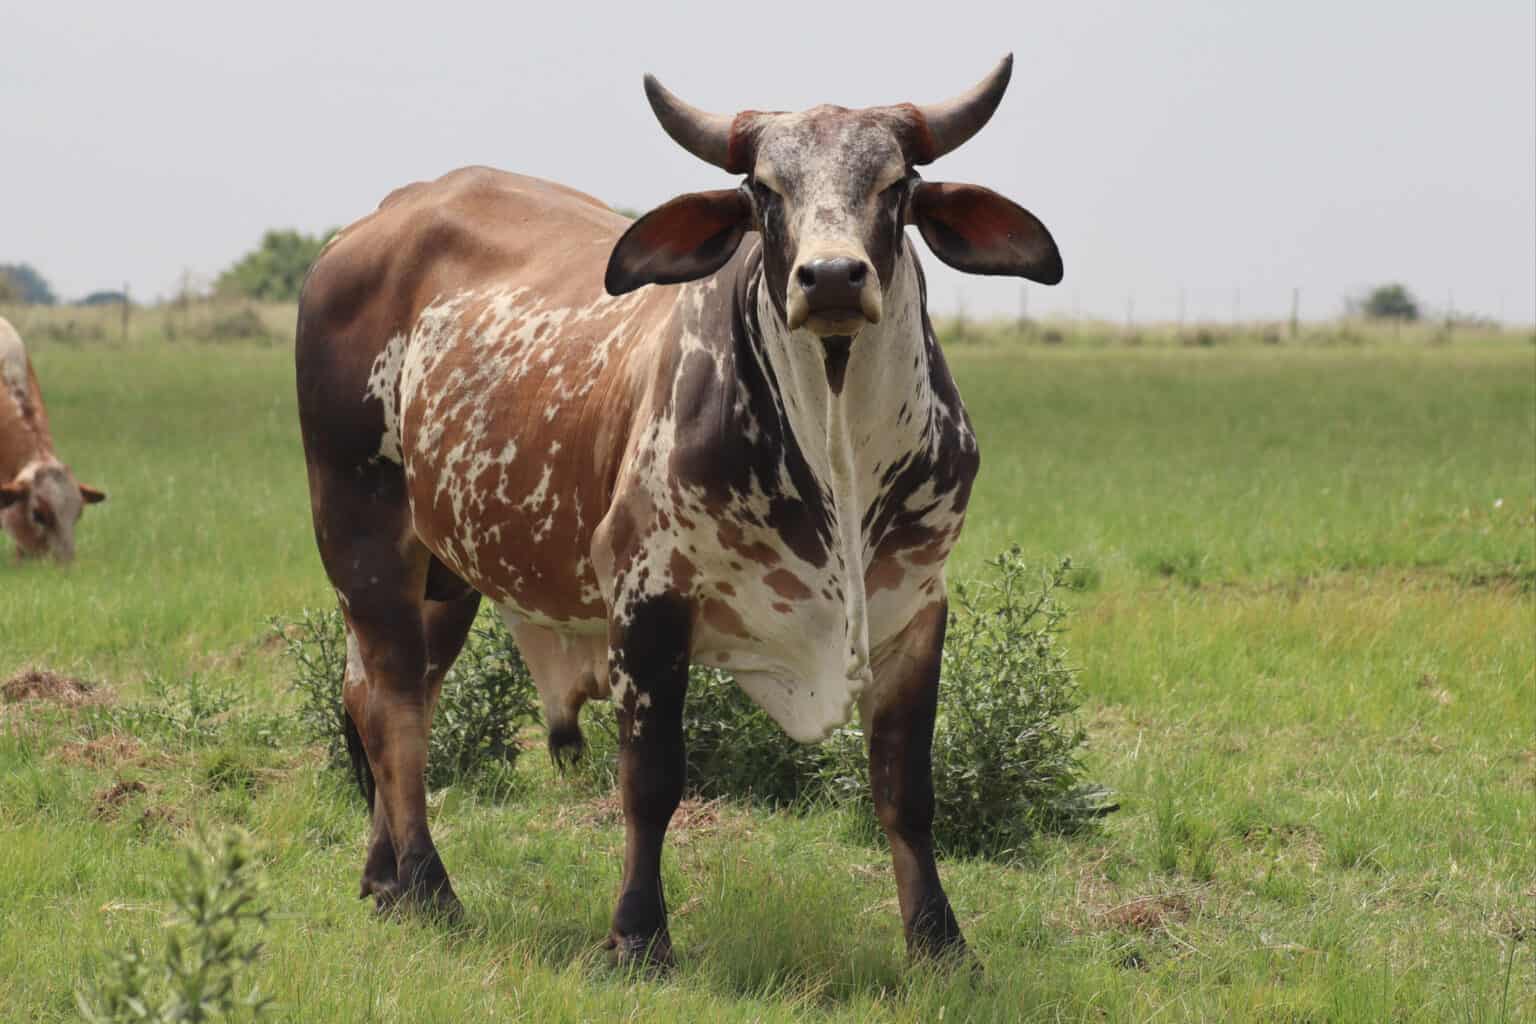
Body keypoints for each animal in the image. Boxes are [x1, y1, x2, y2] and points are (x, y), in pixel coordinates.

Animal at [295, 54, 1061, 966]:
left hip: (447, 573)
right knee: (397, 713)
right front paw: (637, 934)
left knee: (378, 694)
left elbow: (905, 791)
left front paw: (942, 944)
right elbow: (651, 782)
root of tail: (372, 225)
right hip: (364, 534)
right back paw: (429, 887)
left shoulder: (915, 609)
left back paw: (383, 879)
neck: (836, 448)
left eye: (897, 183)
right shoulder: (647, 599)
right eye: (763, 189)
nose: (832, 278)